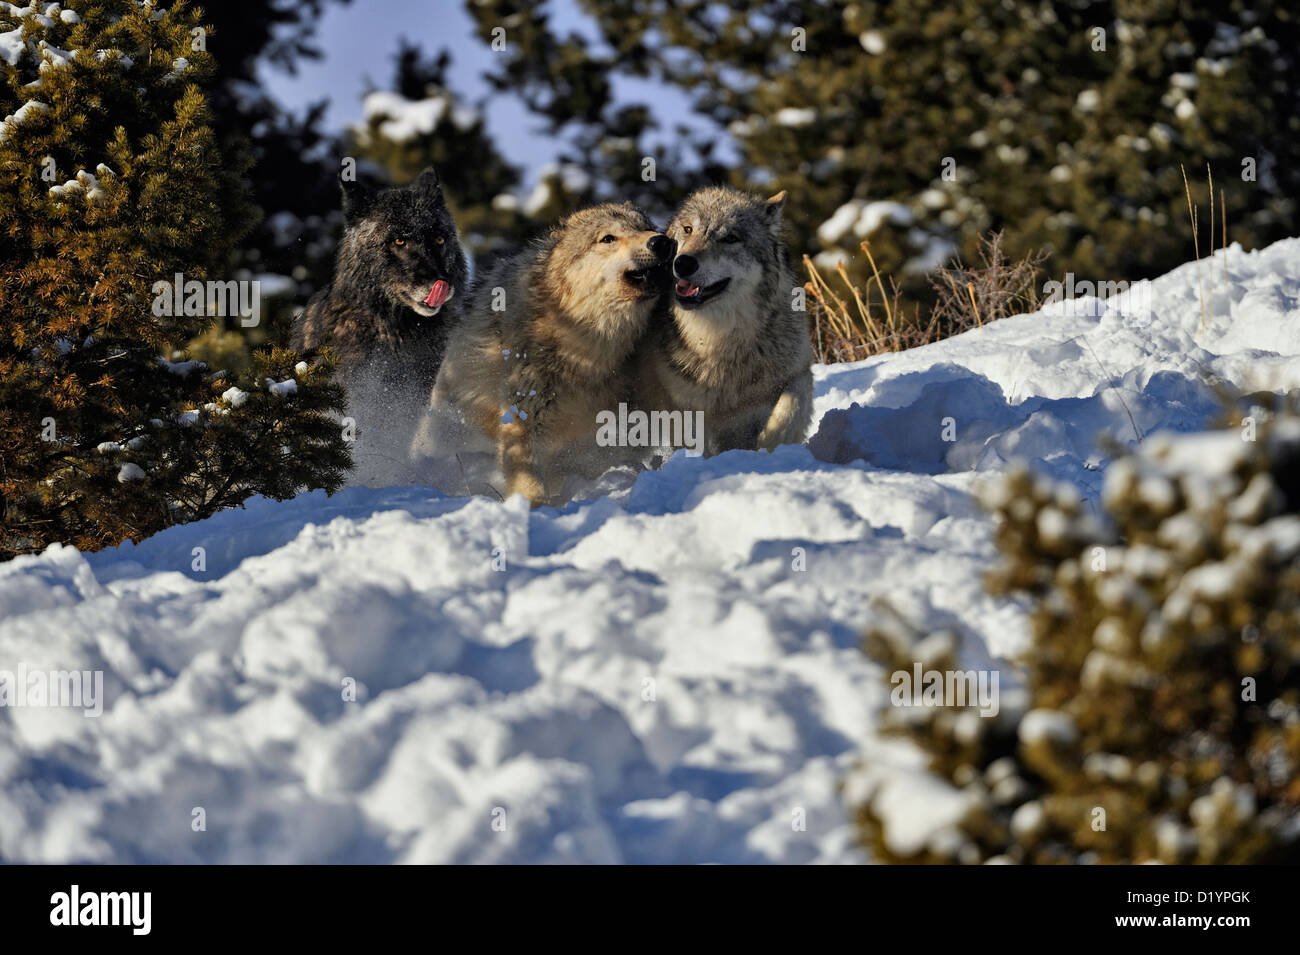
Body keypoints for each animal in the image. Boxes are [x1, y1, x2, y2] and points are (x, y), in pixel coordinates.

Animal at [410, 203, 674, 505]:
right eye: (608, 238)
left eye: (647, 227)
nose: (661, 241)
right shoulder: (524, 415)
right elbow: (530, 479)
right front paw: (533, 507)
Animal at [631, 186, 813, 457]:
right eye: (688, 229)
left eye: (730, 238)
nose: (683, 262)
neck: (718, 340)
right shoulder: (686, 413)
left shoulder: (798, 372)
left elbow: (791, 404)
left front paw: (770, 445)